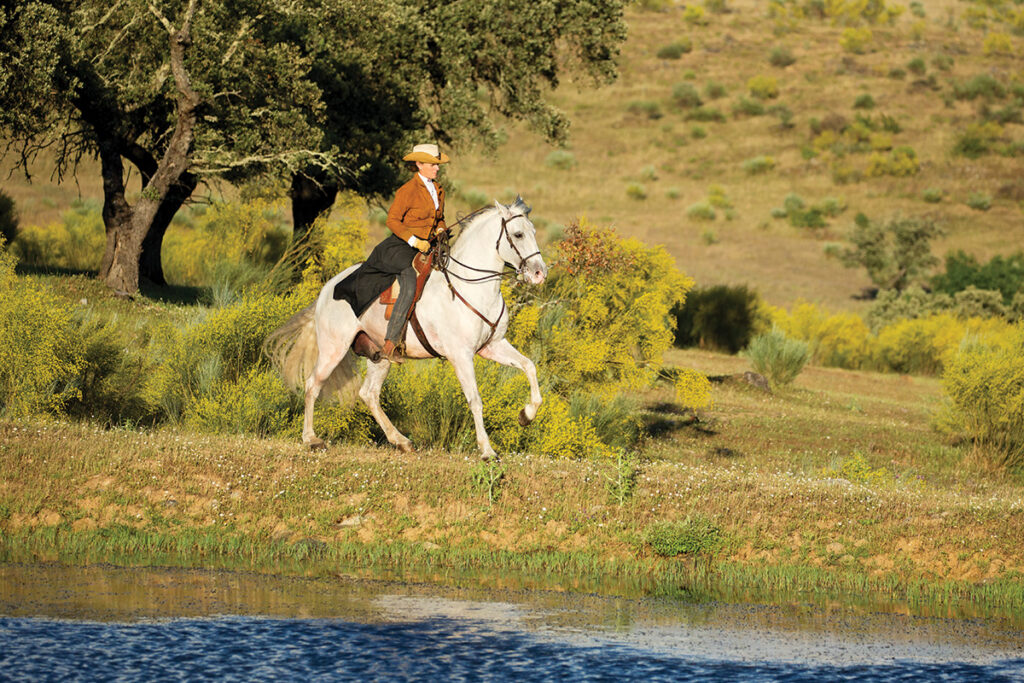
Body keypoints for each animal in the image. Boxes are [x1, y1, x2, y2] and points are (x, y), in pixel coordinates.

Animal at [264, 198, 548, 460]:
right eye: (518, 234)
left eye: (533, 231)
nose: (539, 274)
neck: (469, 287)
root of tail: (326, 289)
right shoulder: (461, 355)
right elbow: (475, 399)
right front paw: (487, 451)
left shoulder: (493, 346)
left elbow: (529, 367)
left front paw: (526, 415)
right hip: (333, 348)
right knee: (313, 385)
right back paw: (312, 439)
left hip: (380, 355)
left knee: (369, 394)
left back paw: (401, 441)